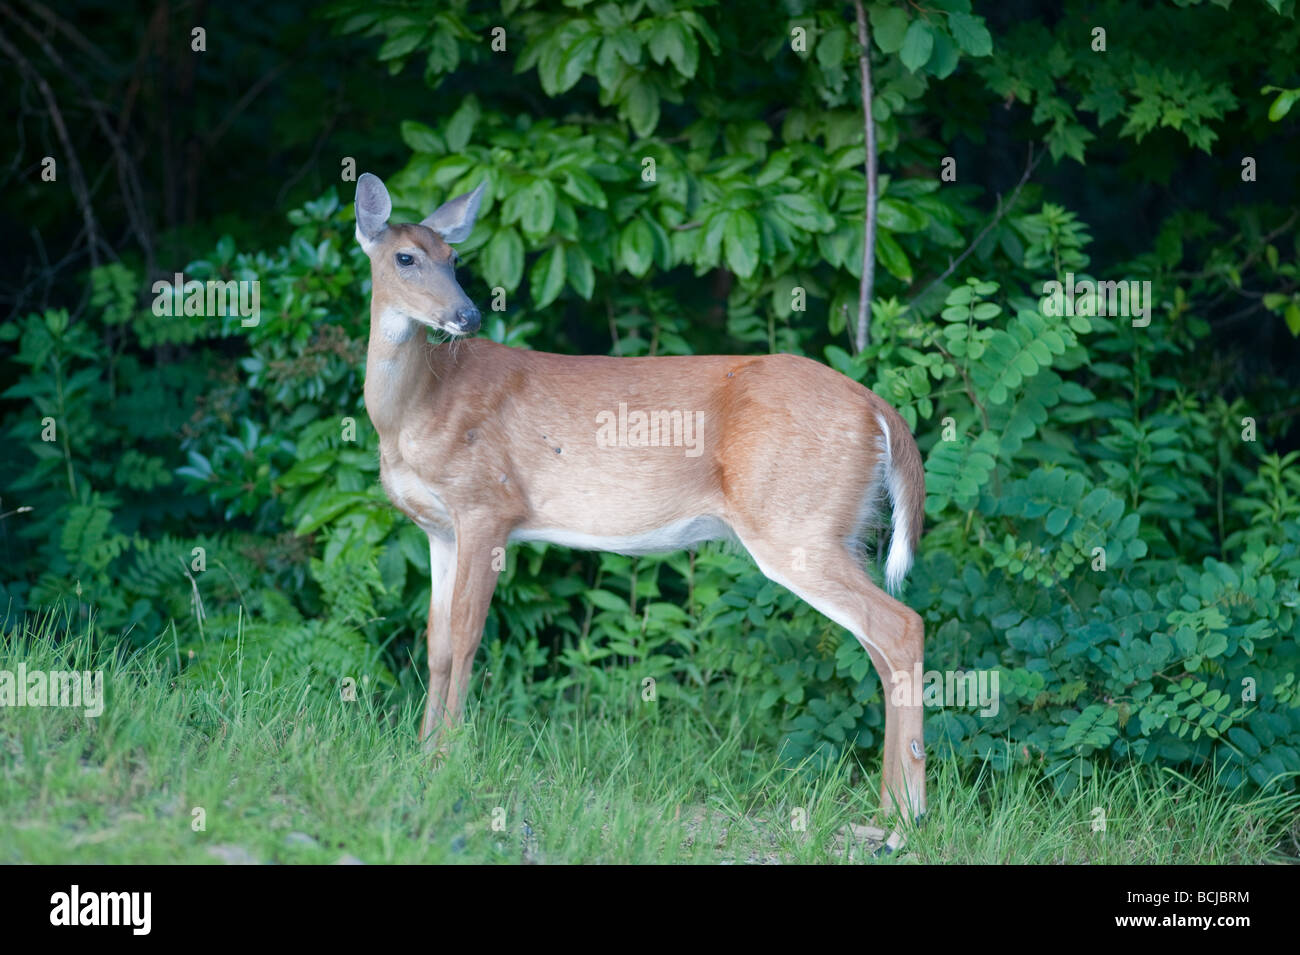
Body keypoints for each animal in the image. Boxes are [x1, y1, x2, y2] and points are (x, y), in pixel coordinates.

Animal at [353, 171, 929, 841]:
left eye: (455, 258)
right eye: (407, 257)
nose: (467, 314)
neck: (415, 408)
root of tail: (878, 407)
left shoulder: (486, 506)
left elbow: (468, 634)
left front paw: (448, 760)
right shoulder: (439, 529)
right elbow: (437, 641)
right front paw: (420, 757)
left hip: (795, 524)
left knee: (901, 627)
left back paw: (905, 818)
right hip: (837, 532)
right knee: (880, 645)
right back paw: (888, 810)